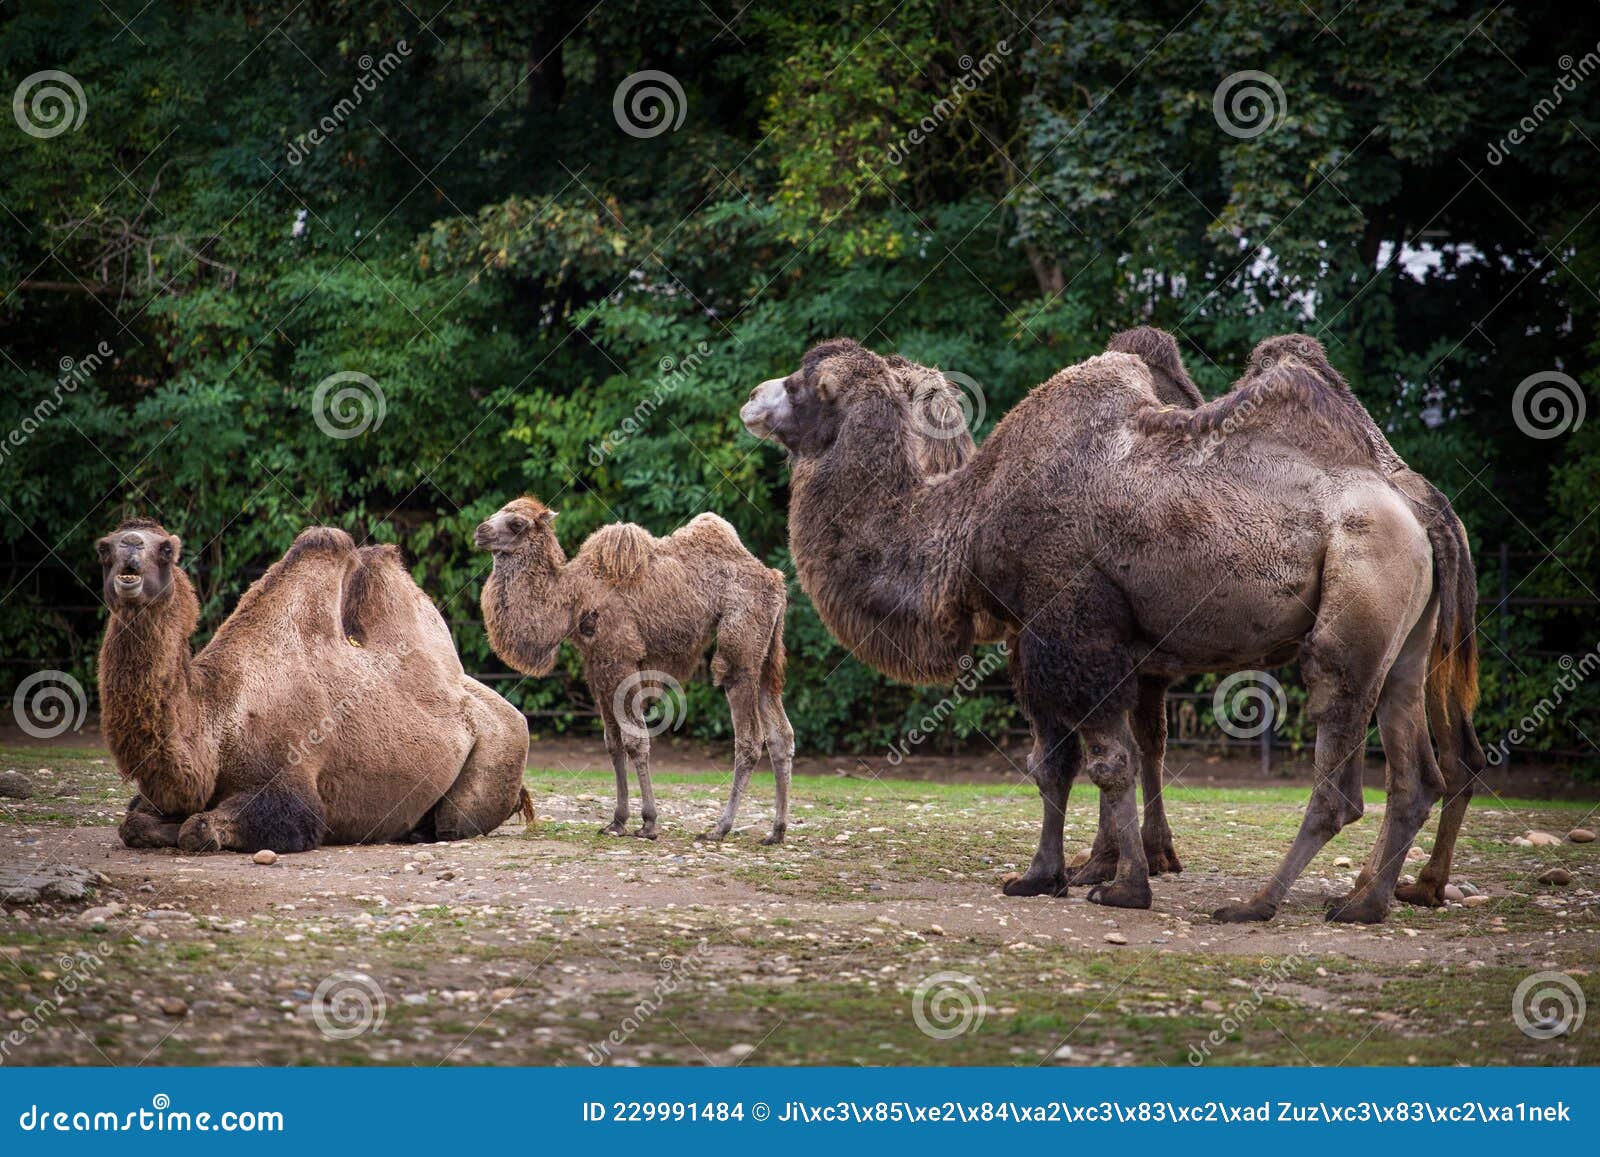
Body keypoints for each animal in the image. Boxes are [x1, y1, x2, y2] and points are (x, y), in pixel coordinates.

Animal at [98, 520, 533, 854]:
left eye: (167, 549)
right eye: (104, 547)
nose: (130, 548)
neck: (220, 715)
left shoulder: (293, 781)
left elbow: (202, 828)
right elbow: (133, 823)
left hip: (502, 748)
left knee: (454, 823)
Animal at [477, 496, 792, 843]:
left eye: (516, 523)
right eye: (497, 512)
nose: (480, 532)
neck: (571, 598)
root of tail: (774, 579)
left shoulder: (622, 658)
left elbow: (634, 741)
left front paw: (649, 823)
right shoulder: (597, 666)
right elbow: (612, 743)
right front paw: (617, 821)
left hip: (741, 646)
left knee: (749, 738)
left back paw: (719, 828)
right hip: (767, 655)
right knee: (781, 735)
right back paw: (776, 831)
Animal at [741, 336, 1482, 923]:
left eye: (809, 384)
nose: (751, 396)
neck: (970, 517)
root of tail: (1422, 511)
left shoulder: (1075, 630)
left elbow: (1110, 762)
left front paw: (1125, 887)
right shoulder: (1034, 637)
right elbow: (1052, 764)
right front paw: (1040, 876)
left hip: (1356, 606)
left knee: (1341, 767)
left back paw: (1258, 903)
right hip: (1405, 637)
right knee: (1416, 771)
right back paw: (1365, 902)